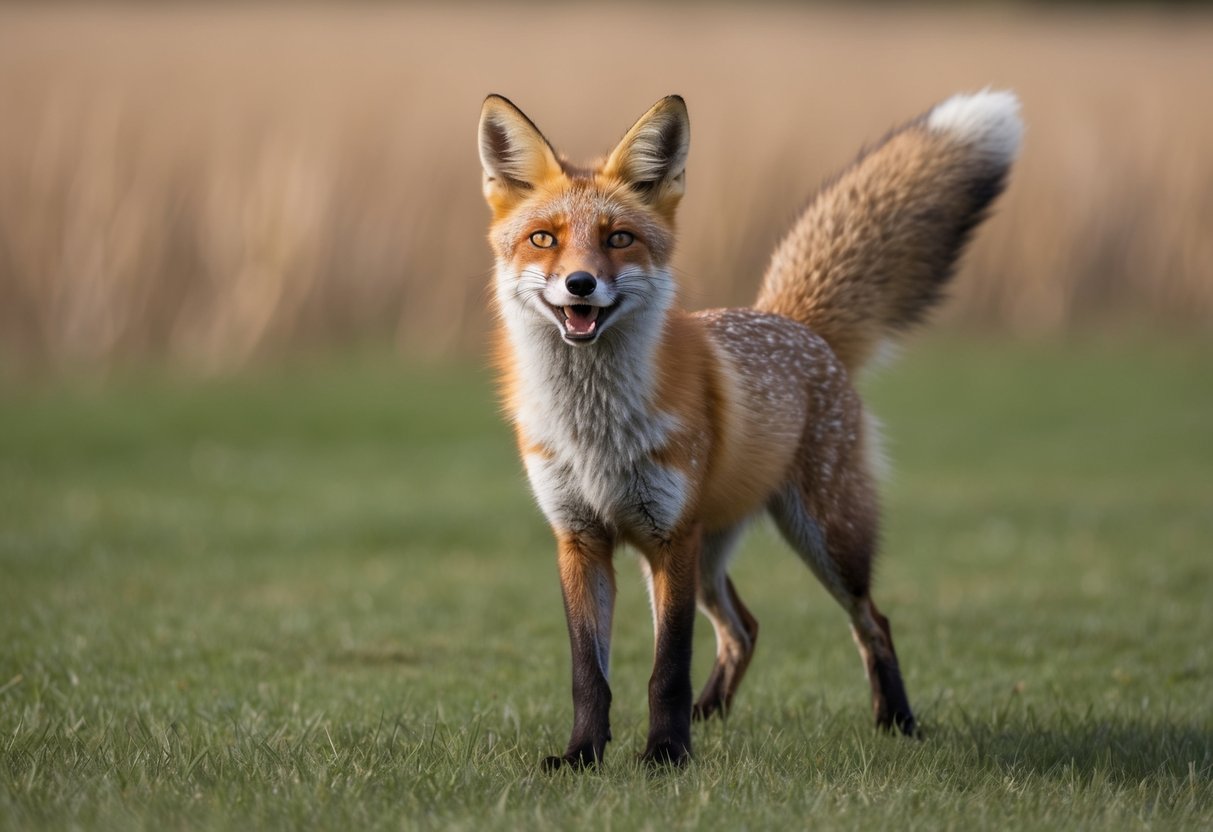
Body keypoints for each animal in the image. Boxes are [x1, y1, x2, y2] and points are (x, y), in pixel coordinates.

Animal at [477, 89, 1022, 768]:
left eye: (620, 238)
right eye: (543, 238)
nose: (581, 284)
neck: (594, 429)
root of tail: (791, 321)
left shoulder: (669, 538)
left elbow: (667, 668)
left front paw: (665, 756)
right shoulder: (580, 538)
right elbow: (588, 673)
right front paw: (583, 755)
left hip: (825, 539)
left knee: (874, 622)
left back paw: (895, 720)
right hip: (706, 557)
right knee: (745, 628)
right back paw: (710, 715)